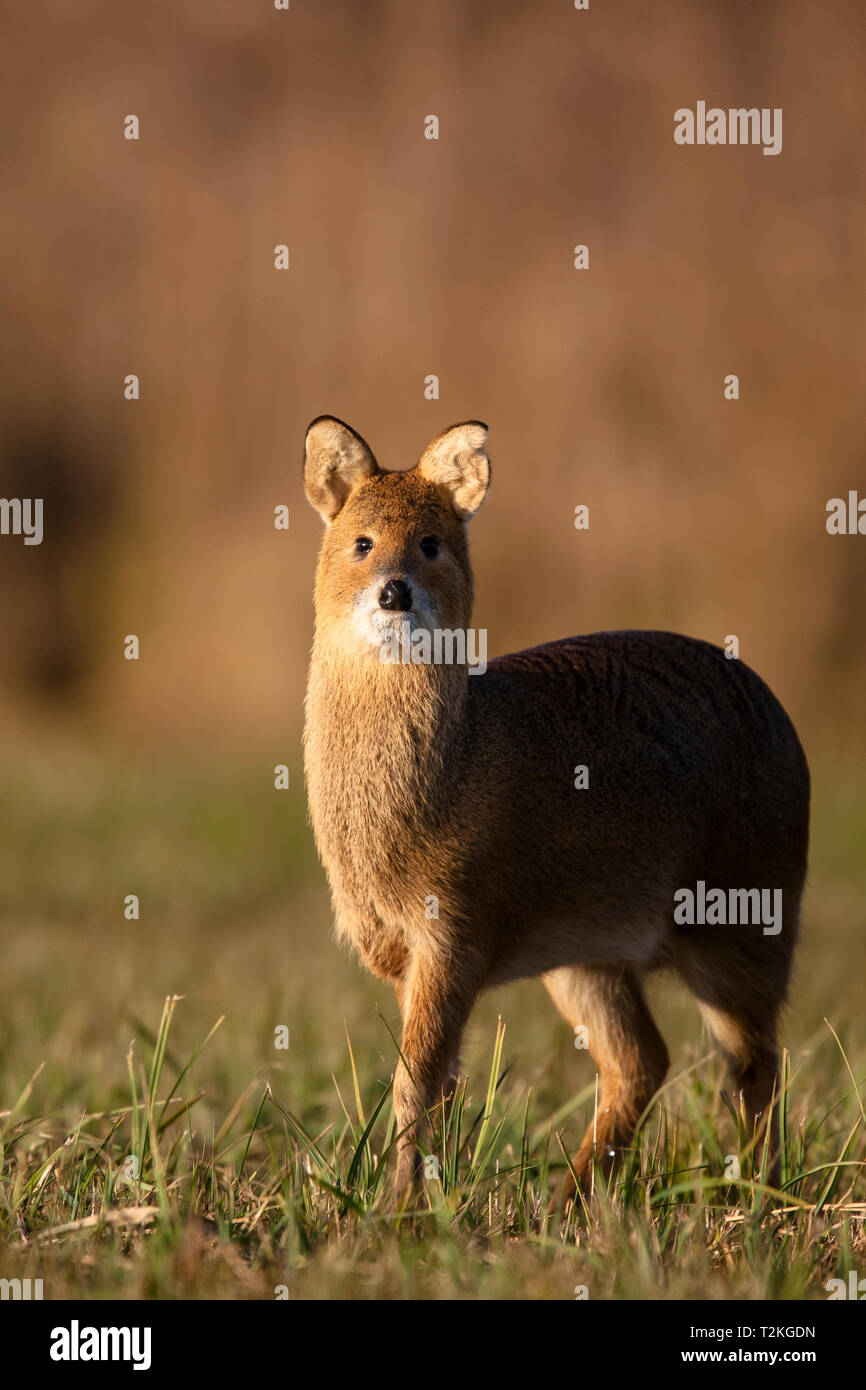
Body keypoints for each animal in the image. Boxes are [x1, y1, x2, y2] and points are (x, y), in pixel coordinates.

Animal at [302, 416, 810, 1207]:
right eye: (360, 541)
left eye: (431, 542)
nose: (394, 592)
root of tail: (782, 720)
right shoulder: (406, 952)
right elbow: (438, 1084)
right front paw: (418, 1200)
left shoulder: (456, 929)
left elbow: (416, 1082)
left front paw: (394, 1208)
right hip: (590, 955)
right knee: (643, 1061)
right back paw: (570, 1198)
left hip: (749, 919)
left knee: (754, 1062)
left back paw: (761, 1198)